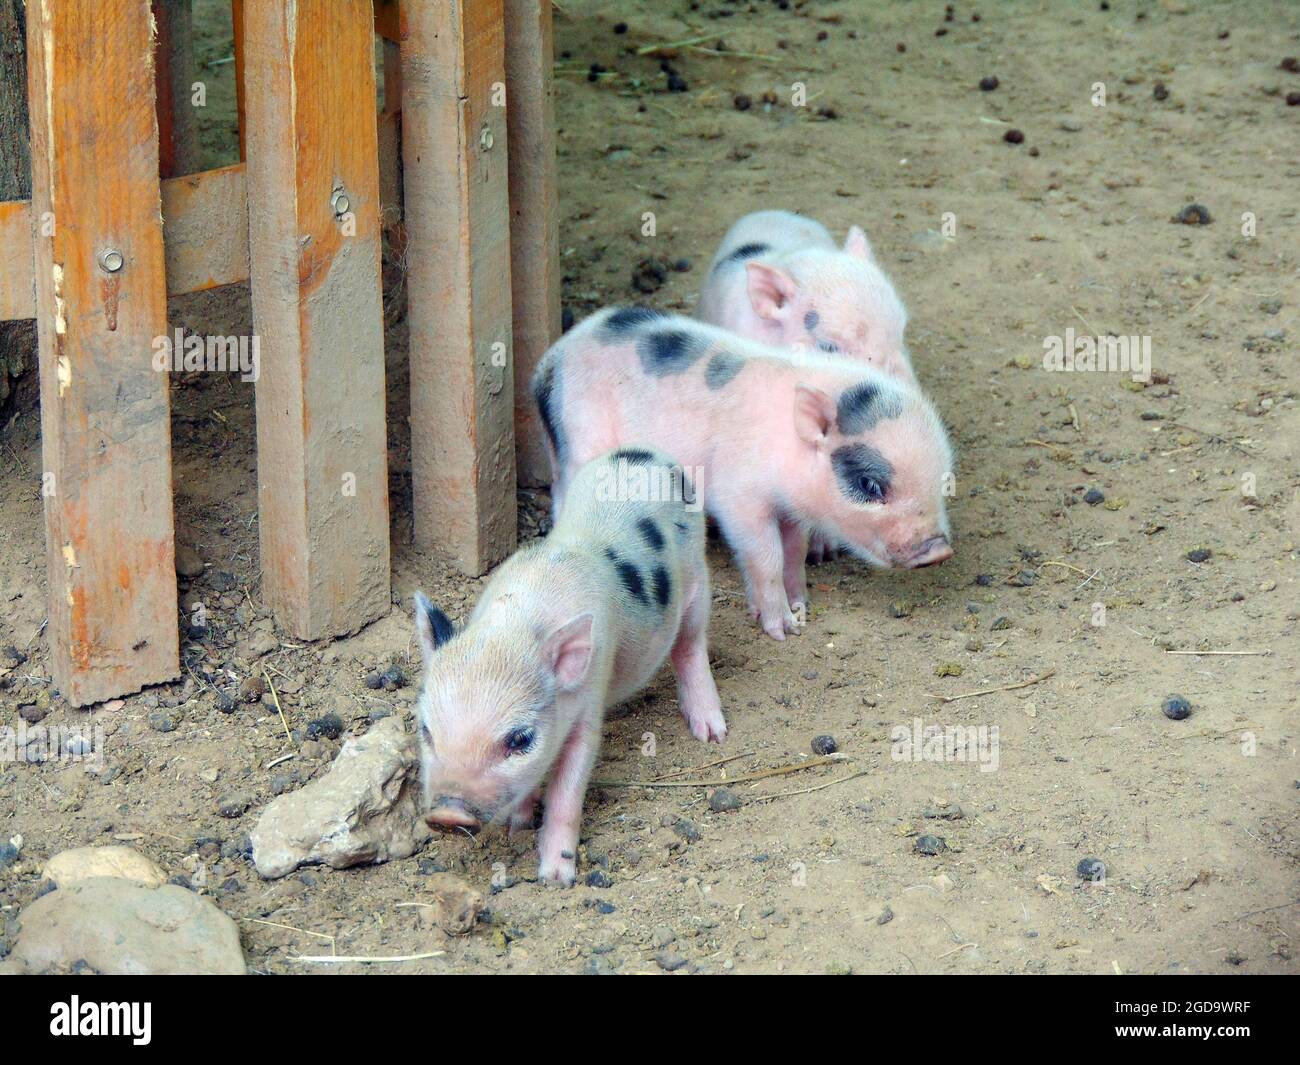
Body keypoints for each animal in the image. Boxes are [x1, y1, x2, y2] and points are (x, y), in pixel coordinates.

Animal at [413, 446, 725, 888]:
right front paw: (518, 826)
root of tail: (646, 452)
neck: (517, 627)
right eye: (426, 731)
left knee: (691, 645)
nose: (446, 814)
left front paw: (555, 877)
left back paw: (711, 733)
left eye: (520, 739)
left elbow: (568, 787)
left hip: (697, 577)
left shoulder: (591, 695)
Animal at [533, 308, 954, 643]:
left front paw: (801, 603)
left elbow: (794, 550)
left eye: (943, 479)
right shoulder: (740, 499)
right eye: (869, 484)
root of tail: (548, 364)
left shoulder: (792, 509)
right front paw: (784, 630)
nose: (939, 551)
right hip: (579, 438)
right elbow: (765, 555)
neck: (783, 443)